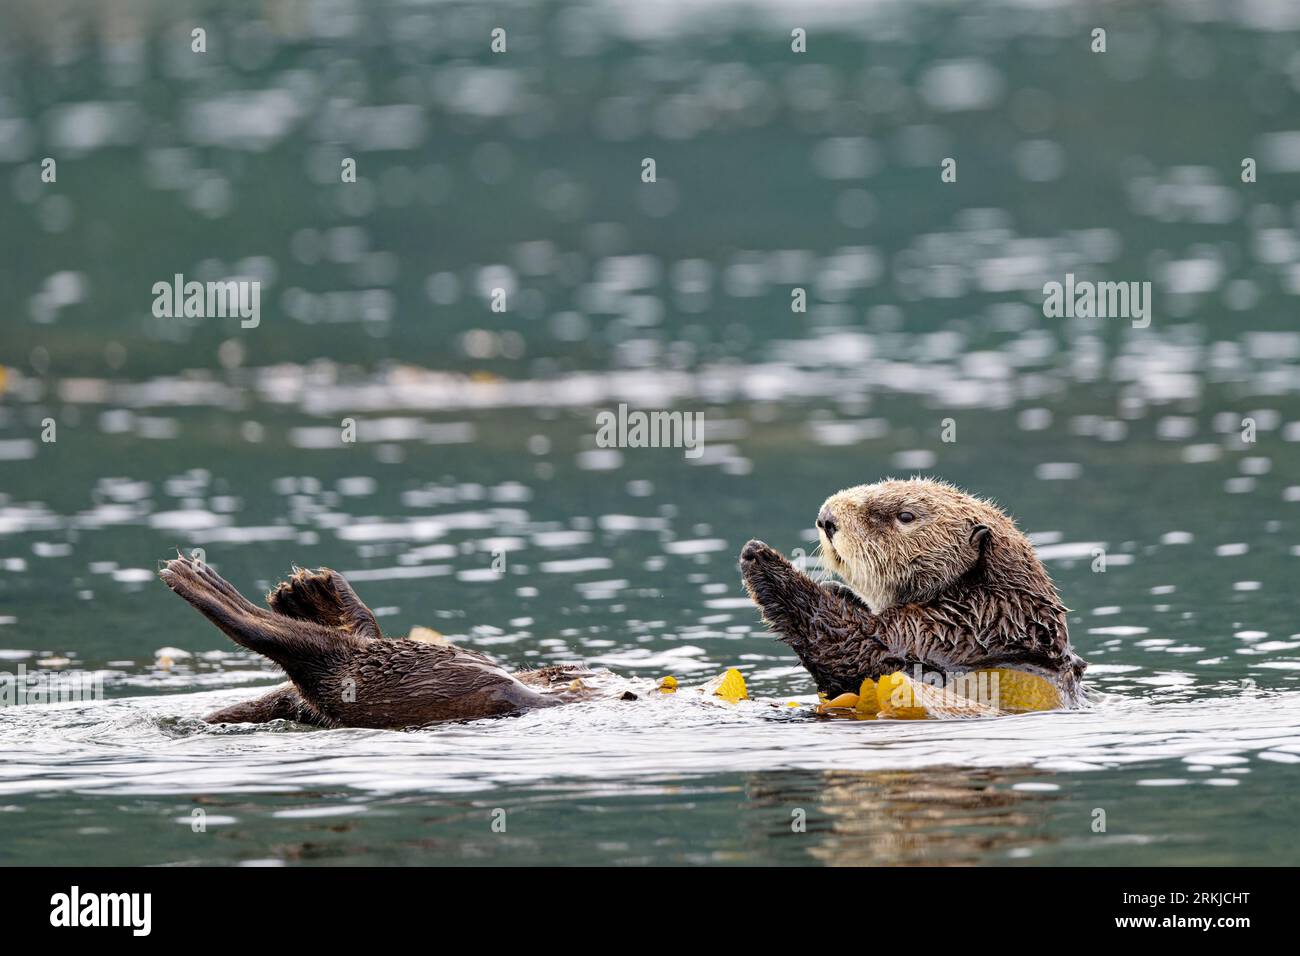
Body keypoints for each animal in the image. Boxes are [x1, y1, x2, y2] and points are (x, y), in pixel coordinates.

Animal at [740, 477, 1087, 702]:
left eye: (905, 515)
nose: (826, 518)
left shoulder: (949, 632)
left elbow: (856, 646)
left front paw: (760, 558)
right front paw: (836, 588)